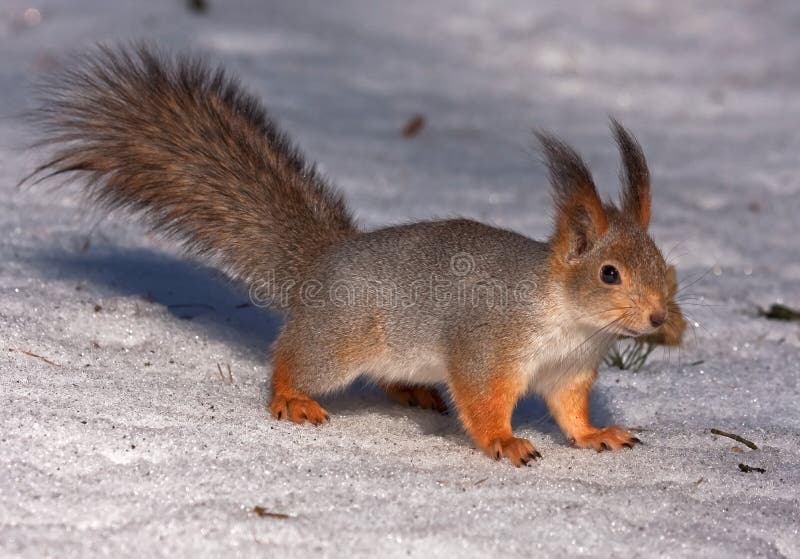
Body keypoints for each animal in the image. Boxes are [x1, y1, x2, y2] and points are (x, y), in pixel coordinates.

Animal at [28, 45, 686, 466]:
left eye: (666, 266)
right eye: (609, 273)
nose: (660, 318)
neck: (569, 320)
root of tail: (322, 264)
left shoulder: (570, 371)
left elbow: (571, 412)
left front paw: (596, 434)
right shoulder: (488, 344)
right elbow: (482, 399)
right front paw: (504, 442)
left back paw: (413, 392)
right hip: (341, 342)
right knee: (291, 360)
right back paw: (291, 399)